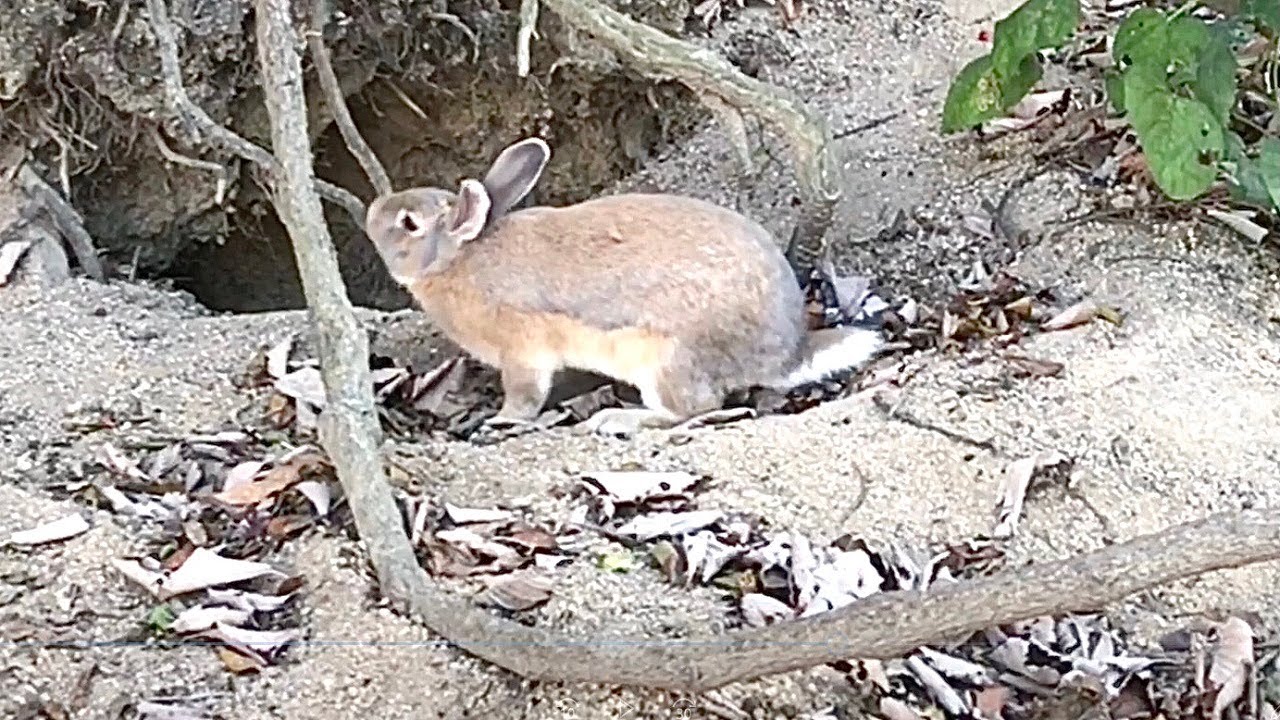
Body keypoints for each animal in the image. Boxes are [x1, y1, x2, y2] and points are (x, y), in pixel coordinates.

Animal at [363, 137, 885, 437]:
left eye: (408, 224)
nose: (371, 212)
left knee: (698, 408)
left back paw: (617, 420)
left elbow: (525, 396)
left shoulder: (522, 350)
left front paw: (500, 421)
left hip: (665, 359)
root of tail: (786, 354)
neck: (460, 258)